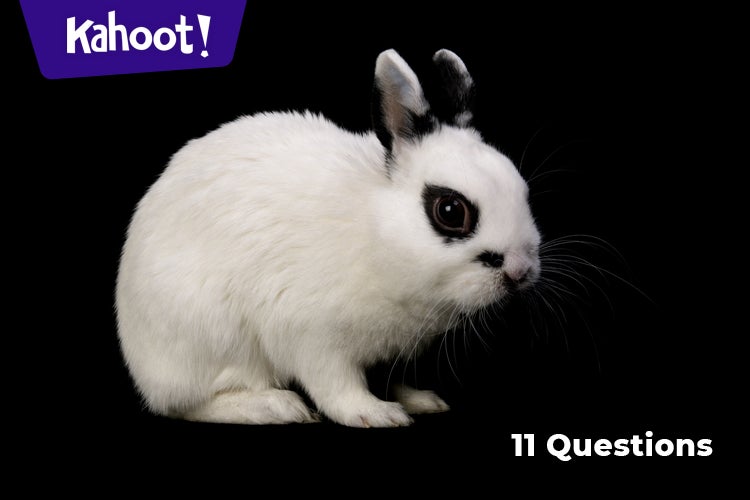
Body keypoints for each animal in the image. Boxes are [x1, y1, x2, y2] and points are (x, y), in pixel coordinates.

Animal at [116, 48, 541, 428]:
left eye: (522, 190)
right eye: (450, 211)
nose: (520, 271)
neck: (378, 235)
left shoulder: (390, 354)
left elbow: (392, 379)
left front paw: (421, 400)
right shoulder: (314, 336)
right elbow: (335, 386)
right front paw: (375, 414)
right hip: (212, 337)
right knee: (187, 403)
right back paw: (275, 407)